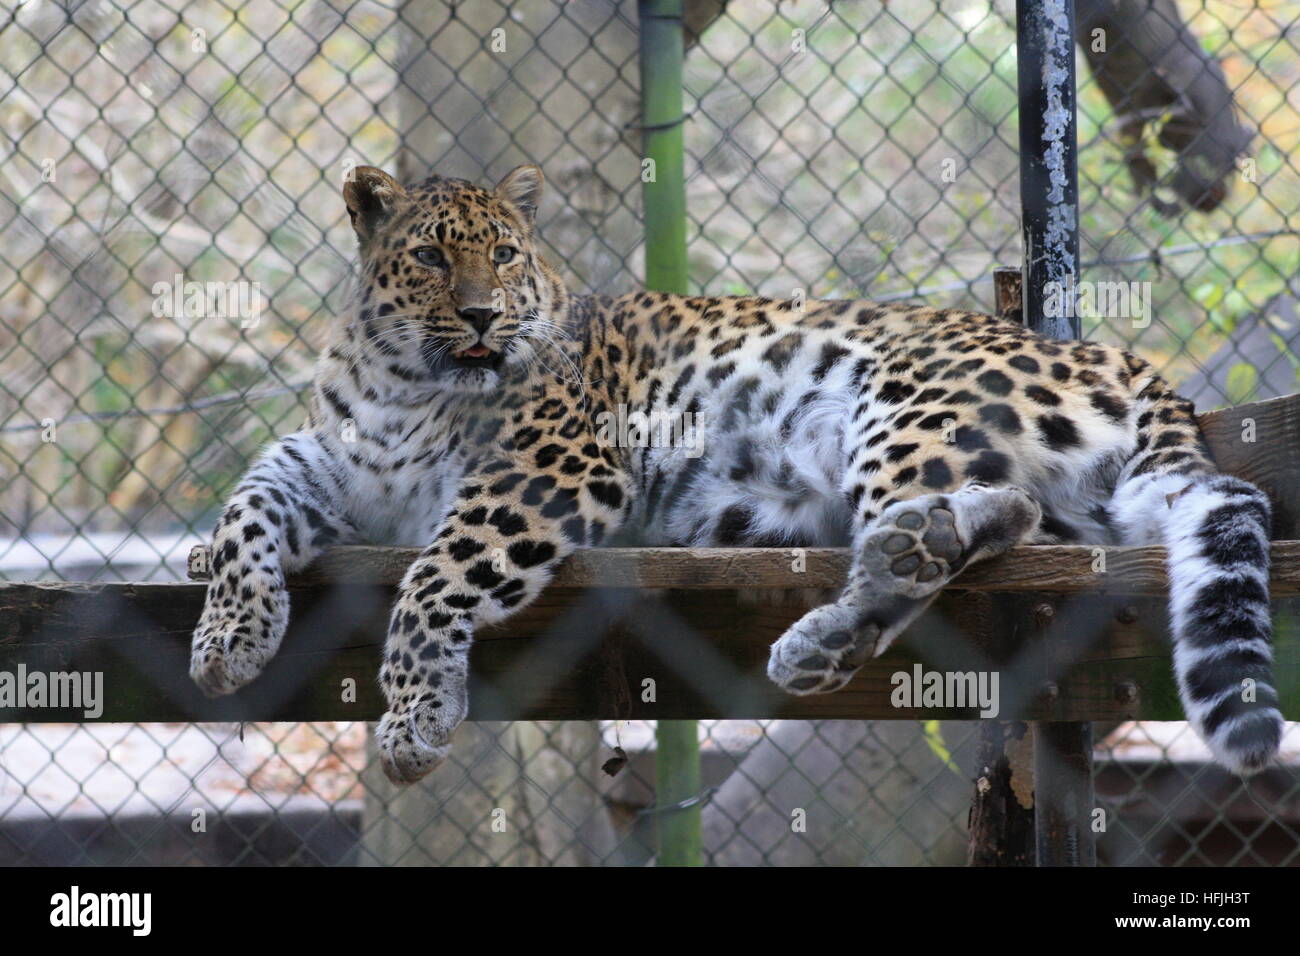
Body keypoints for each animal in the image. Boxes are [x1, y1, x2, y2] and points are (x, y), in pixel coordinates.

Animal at [190, 164, 1283, 784]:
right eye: (427, 257)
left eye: (502, 255)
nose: (480, 317)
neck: (403, 379)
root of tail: (1121, 356)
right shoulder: (331, 461)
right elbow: (250, 500)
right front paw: (227, 633)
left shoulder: (550, 466)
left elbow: (432, 578)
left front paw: (417, 716)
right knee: (1014, 514)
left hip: (899, 400)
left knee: (949, 519)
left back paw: (836, 625)